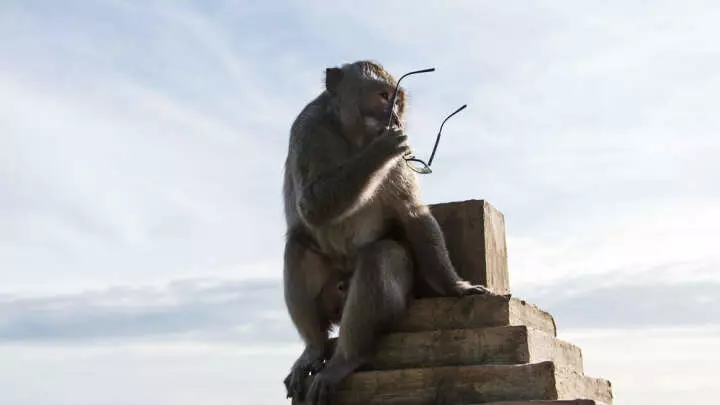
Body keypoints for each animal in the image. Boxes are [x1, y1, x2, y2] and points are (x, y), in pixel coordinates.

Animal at [282, 60, 490, 404]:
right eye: (382, 95)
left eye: (398, 101)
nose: (394, 118)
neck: (351, 137)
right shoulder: (308, 130)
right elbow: (311, 204)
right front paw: (378, 150)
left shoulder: (402, 161)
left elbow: (413, 216)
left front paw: (456, 287)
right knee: (298, 246)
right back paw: (315, 348)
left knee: (383, 254)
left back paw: (345, 358)